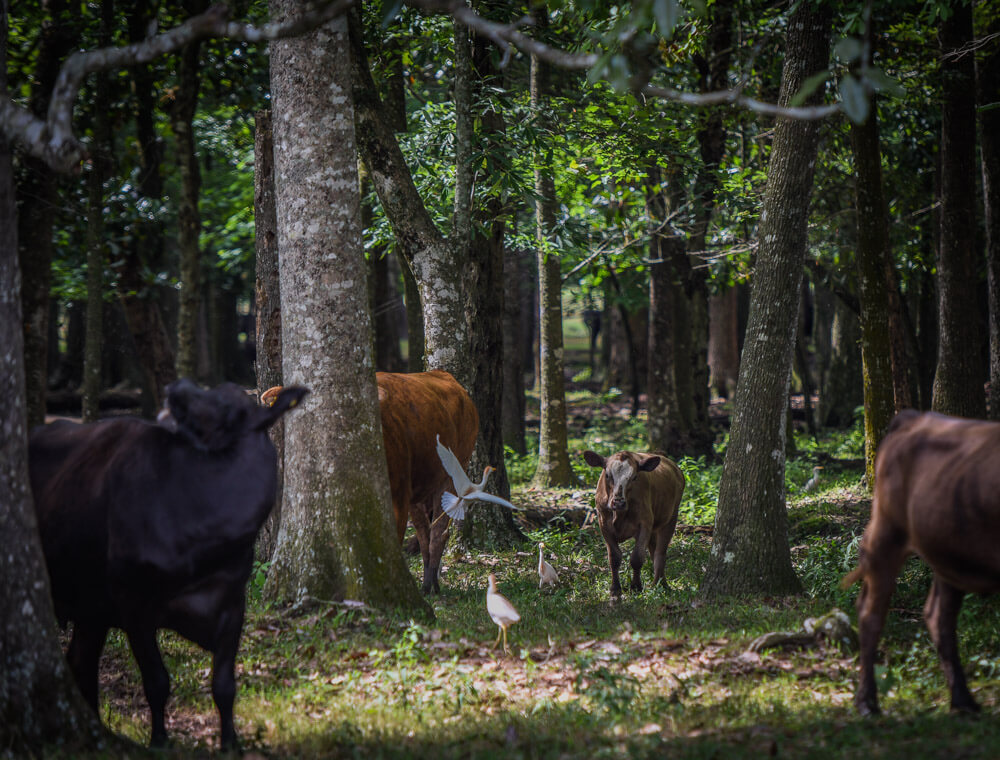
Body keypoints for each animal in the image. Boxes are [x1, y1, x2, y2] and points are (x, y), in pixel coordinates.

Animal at [29, 379, 308, 750]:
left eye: (228, 408)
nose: (179, 386)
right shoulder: (133, 605)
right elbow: (157, 682)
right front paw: (159, 741)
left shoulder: (233, 605)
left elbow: (224, 686)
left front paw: (231, 744)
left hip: (91, 608)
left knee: (80, 662)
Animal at [262, 369, 479, 594]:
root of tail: (444, 375)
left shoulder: (398, 496)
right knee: (423, 531)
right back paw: (427, 583)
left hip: (453, 473)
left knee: (438, 532)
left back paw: (431, 587)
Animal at [583, 450, 685, 599]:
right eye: (607, 475)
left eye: (634, 477)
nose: (618, 502)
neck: (619, 514)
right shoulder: (604, 524)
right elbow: (614, 557)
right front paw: (615, 589)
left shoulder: (645, 523)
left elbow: (637, 558)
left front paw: (636, 587)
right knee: (653, 550)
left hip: (671, 517)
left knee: (660, 552)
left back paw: (661, 584)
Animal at [842, 409, 1000, 717]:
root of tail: (912, 418)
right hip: (885, 536)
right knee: (871, 612)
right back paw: (867, 702)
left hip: (947, 555)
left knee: (939, 617)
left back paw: (963, 701)